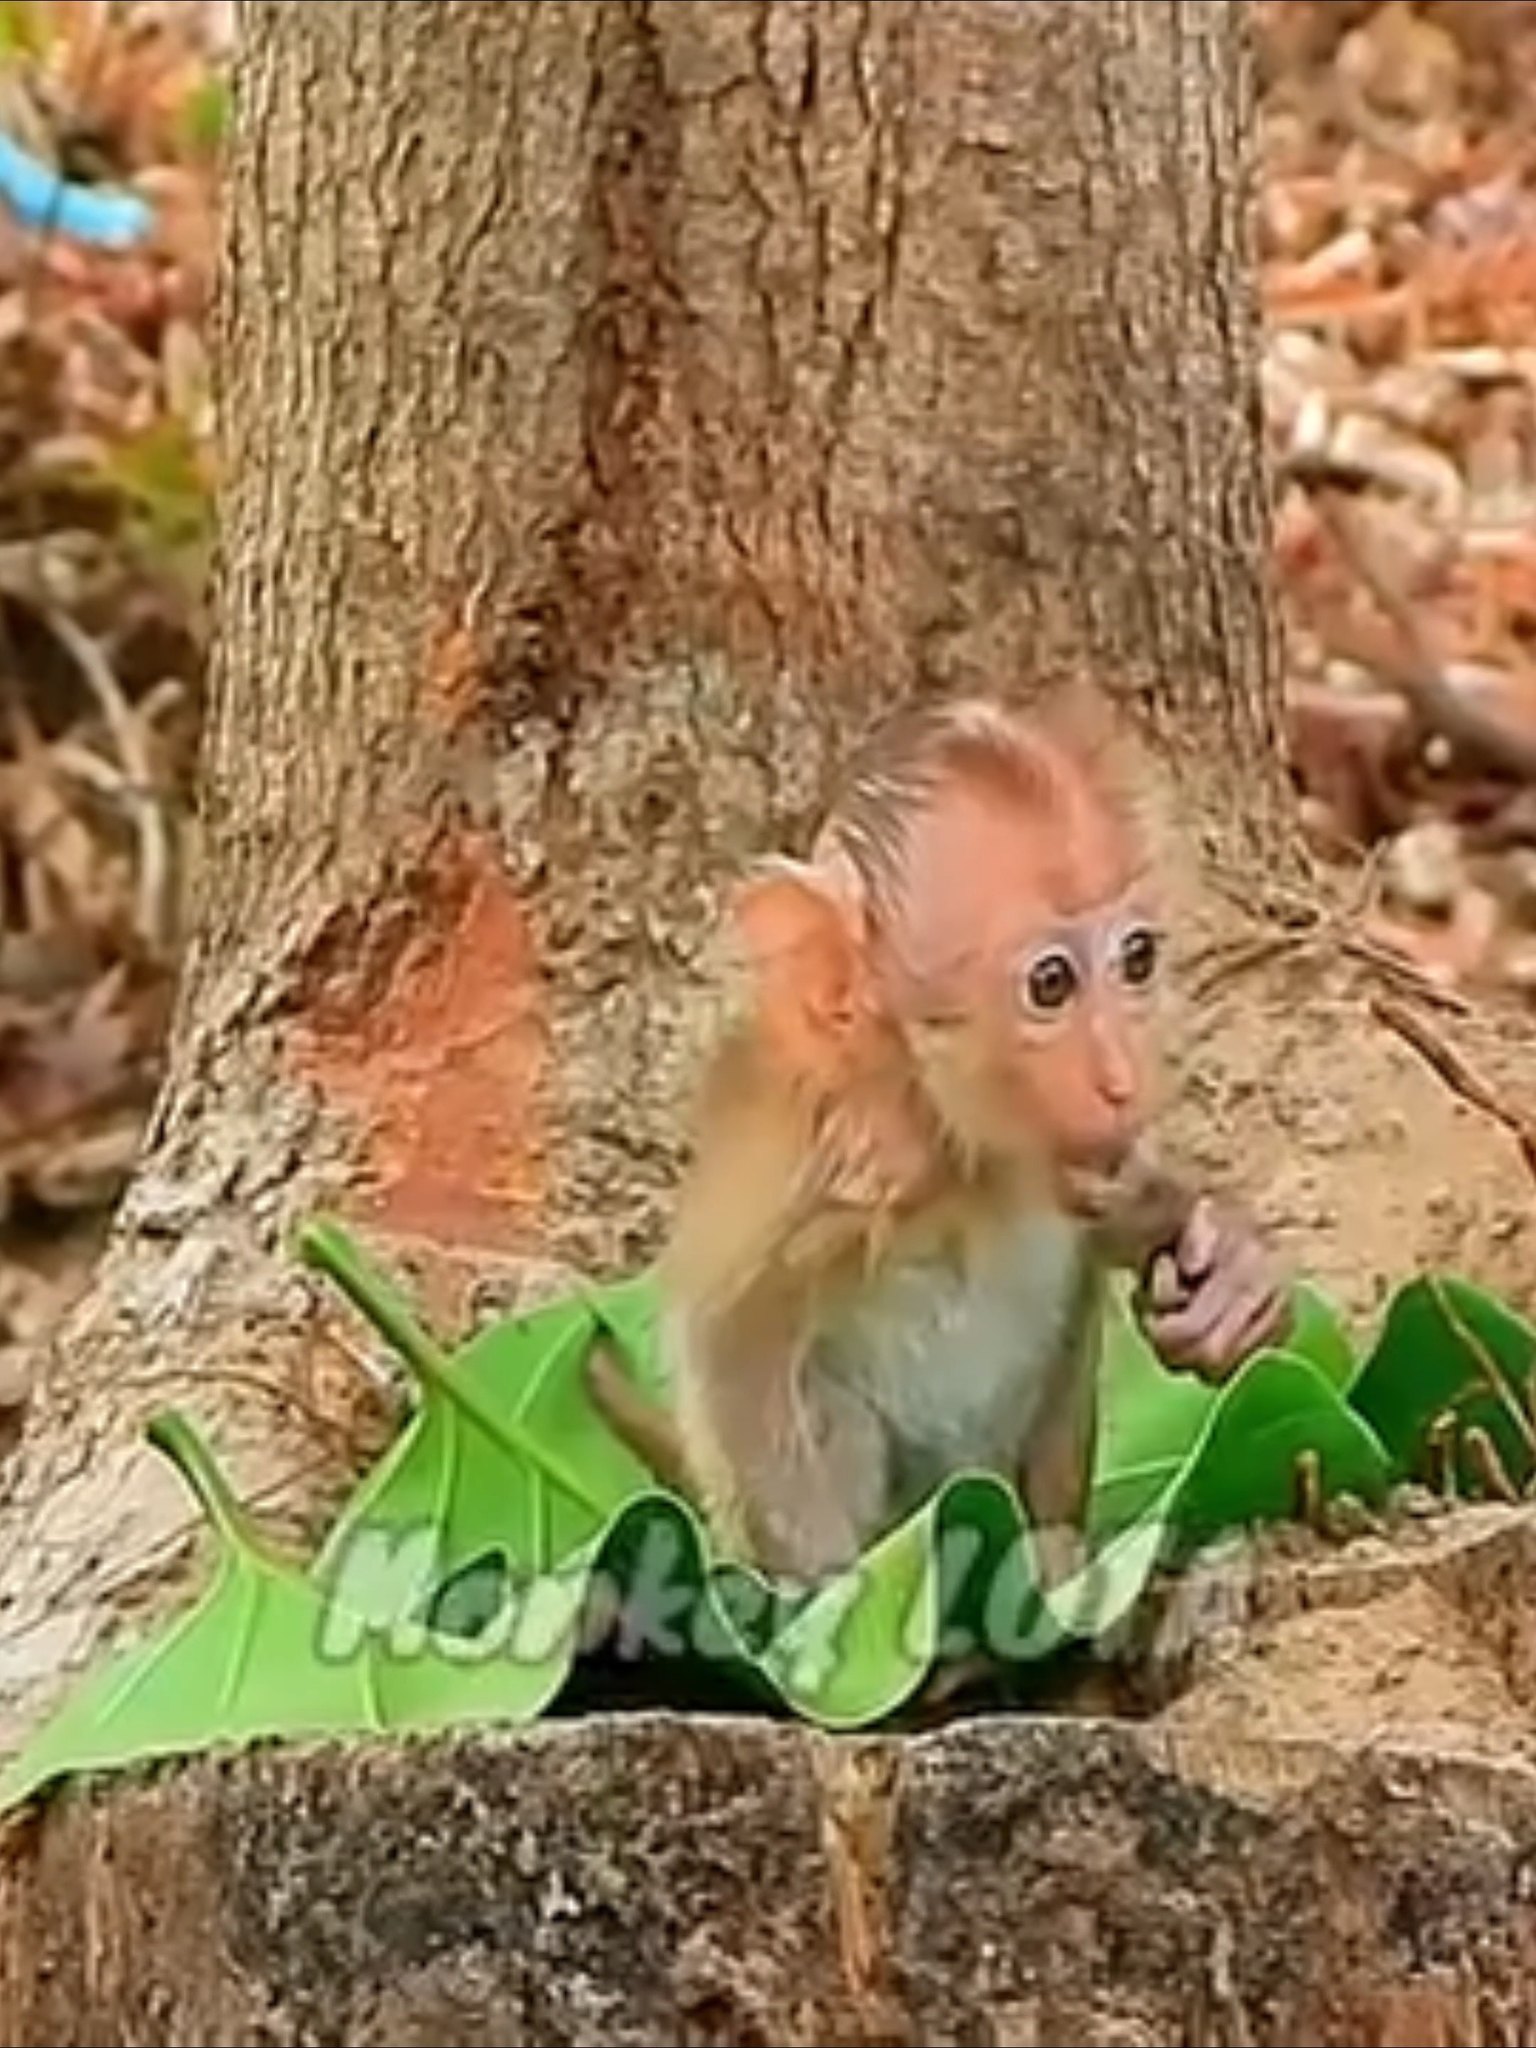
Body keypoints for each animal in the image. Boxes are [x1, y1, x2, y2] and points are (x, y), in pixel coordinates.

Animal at [585, 693, 1289, 1591]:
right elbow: (732, 1332)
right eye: (1051, 983)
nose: (1124, 1074)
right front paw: (830, 1596)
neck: (966, 1161)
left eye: (1137, 958)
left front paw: (1228, 1278)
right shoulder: (841, 1161)